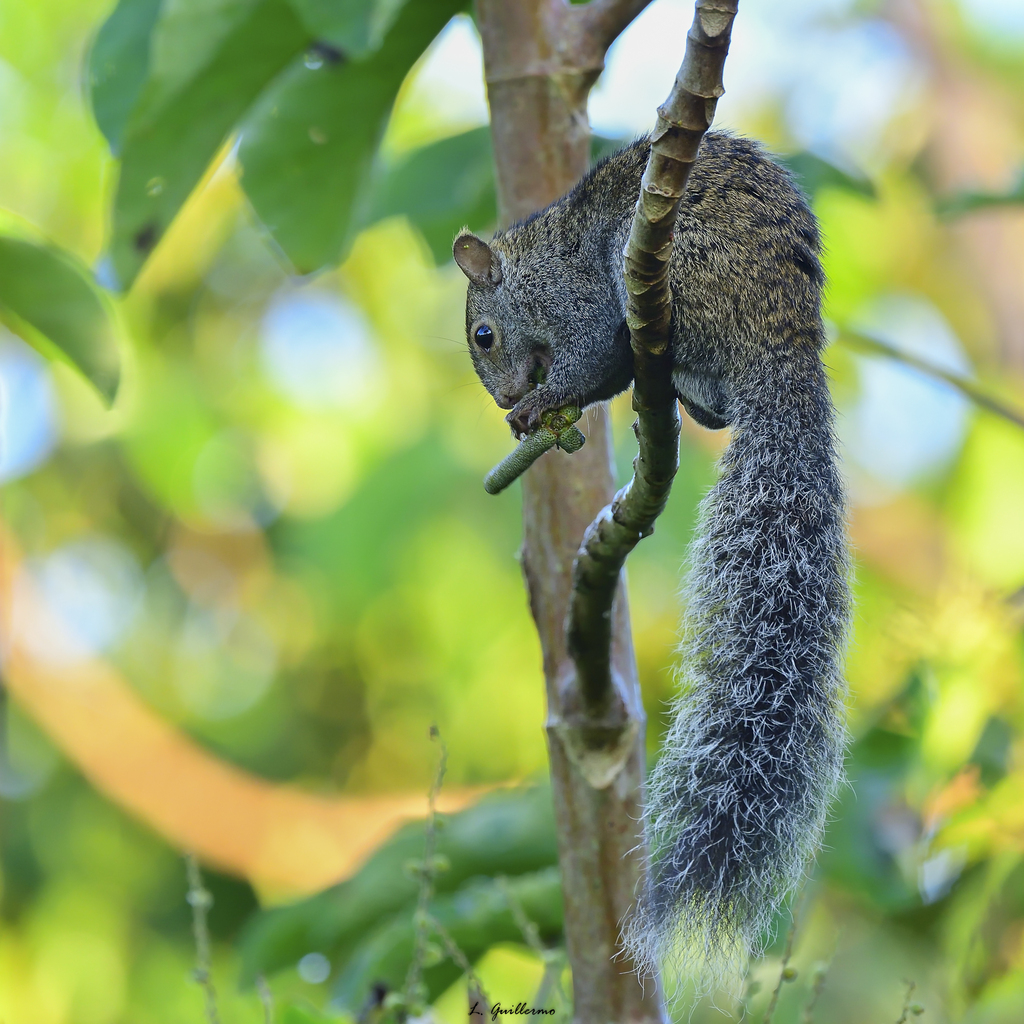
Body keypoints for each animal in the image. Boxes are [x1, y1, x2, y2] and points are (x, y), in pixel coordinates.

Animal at [452, 133, 850, 979]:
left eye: (483, 336)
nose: (502, 401)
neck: (536, 261)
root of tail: (787, 337)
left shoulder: (580, 304)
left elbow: (591, 361)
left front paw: (542, 405)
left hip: (675, 269)